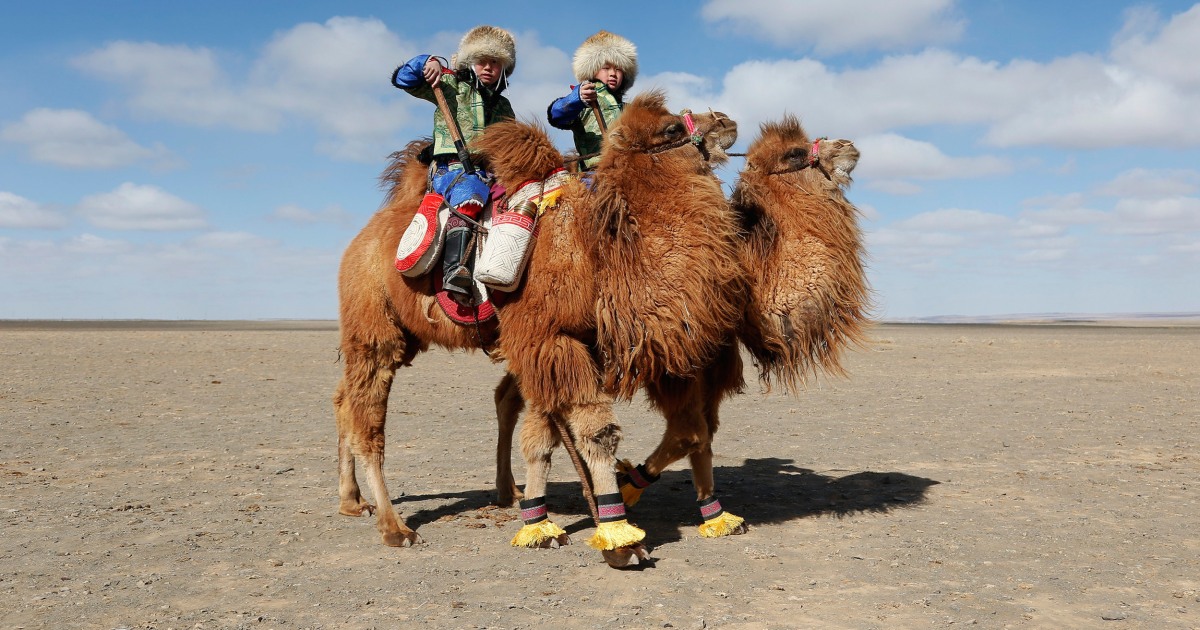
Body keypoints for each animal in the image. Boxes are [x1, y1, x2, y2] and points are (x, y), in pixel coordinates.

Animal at [333, 91, 742, 565]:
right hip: (374, 329)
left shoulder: (563, 344)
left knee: (347, 399)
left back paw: (356, 501)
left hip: (401, 334)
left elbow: (546, 434)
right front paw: (618, 537)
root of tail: (363, 238)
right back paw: (394, 527)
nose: (725, 120)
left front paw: (550, 520)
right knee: (368, 421)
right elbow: (594, 433)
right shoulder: (550, 338)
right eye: (672, 128)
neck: (593, 252)